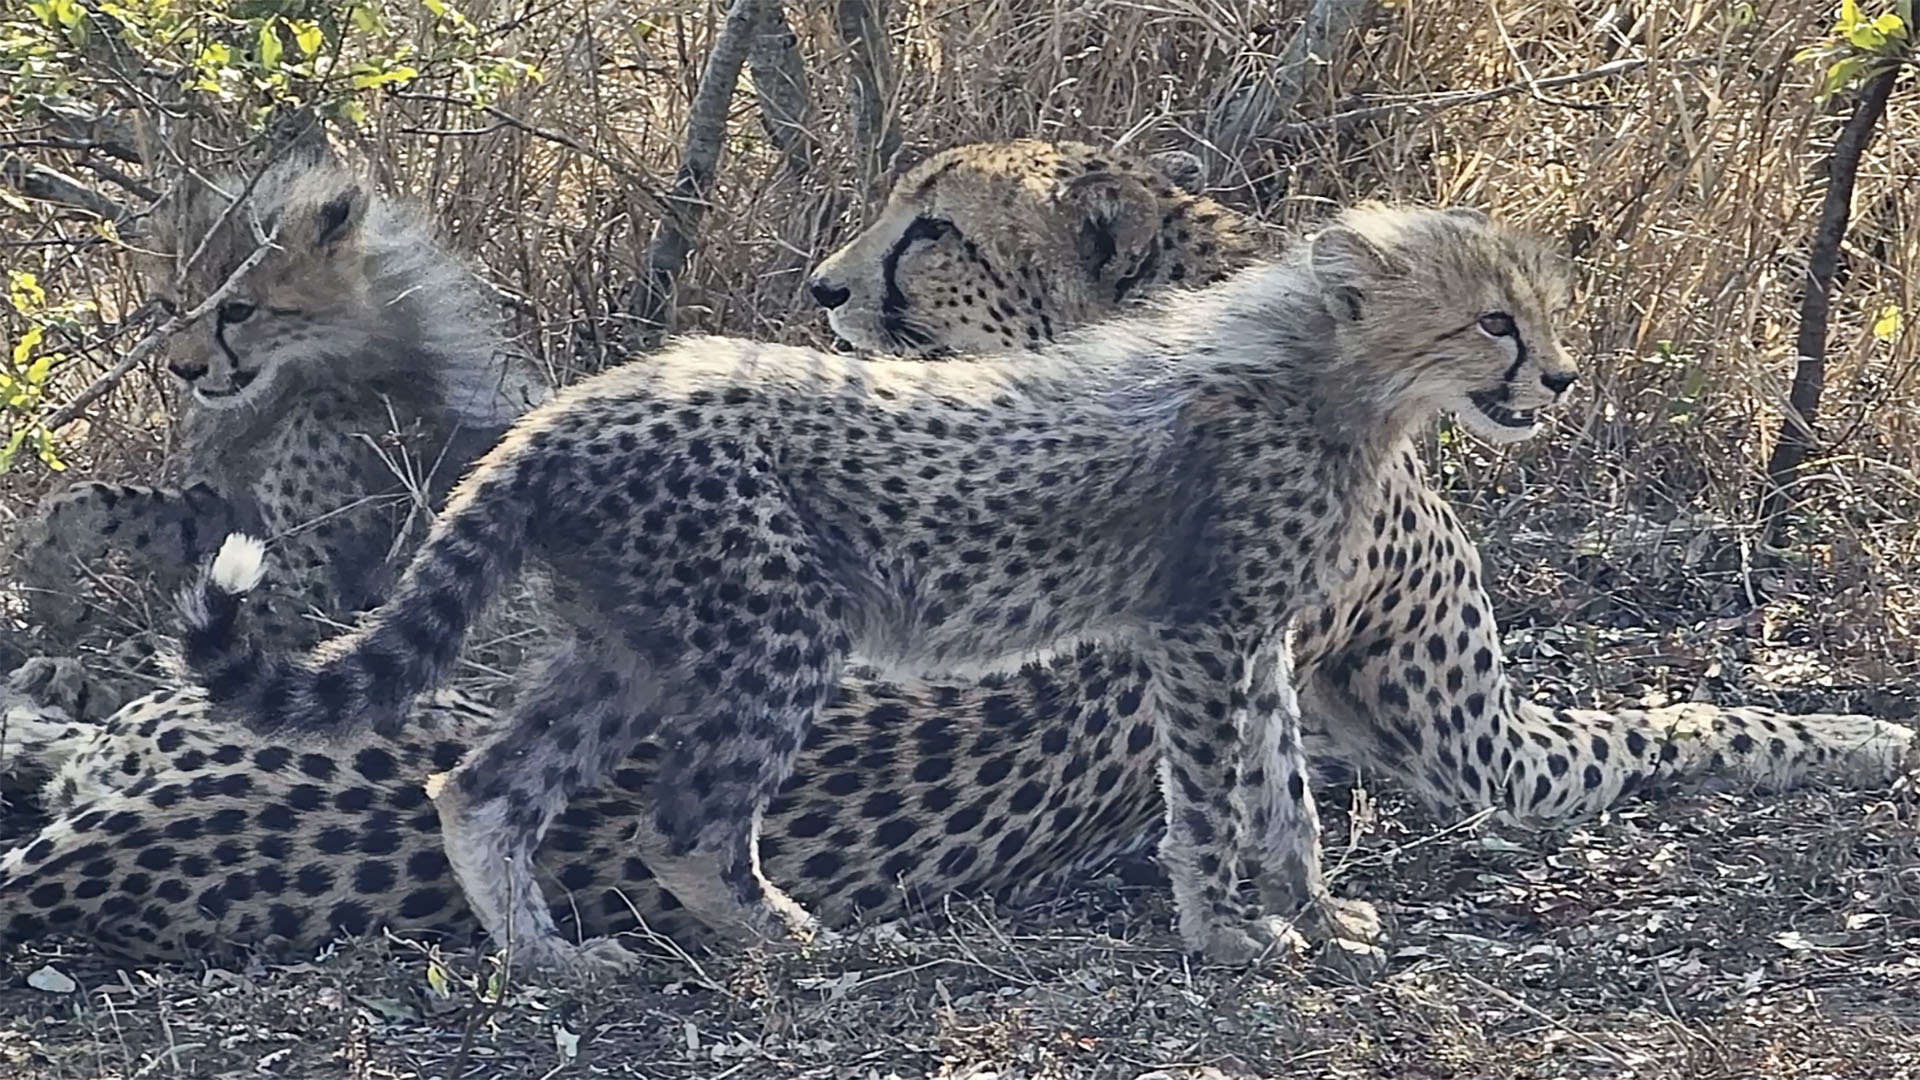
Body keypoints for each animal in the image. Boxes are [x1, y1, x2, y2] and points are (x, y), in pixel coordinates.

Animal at [9, 148, 544, 672]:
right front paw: (45, 578)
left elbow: (173, 649)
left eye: (237, 310)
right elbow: (90, 499)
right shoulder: (229, 517)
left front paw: (65, 675)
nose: (185, 369)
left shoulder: (302, 582)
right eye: (171, 307)